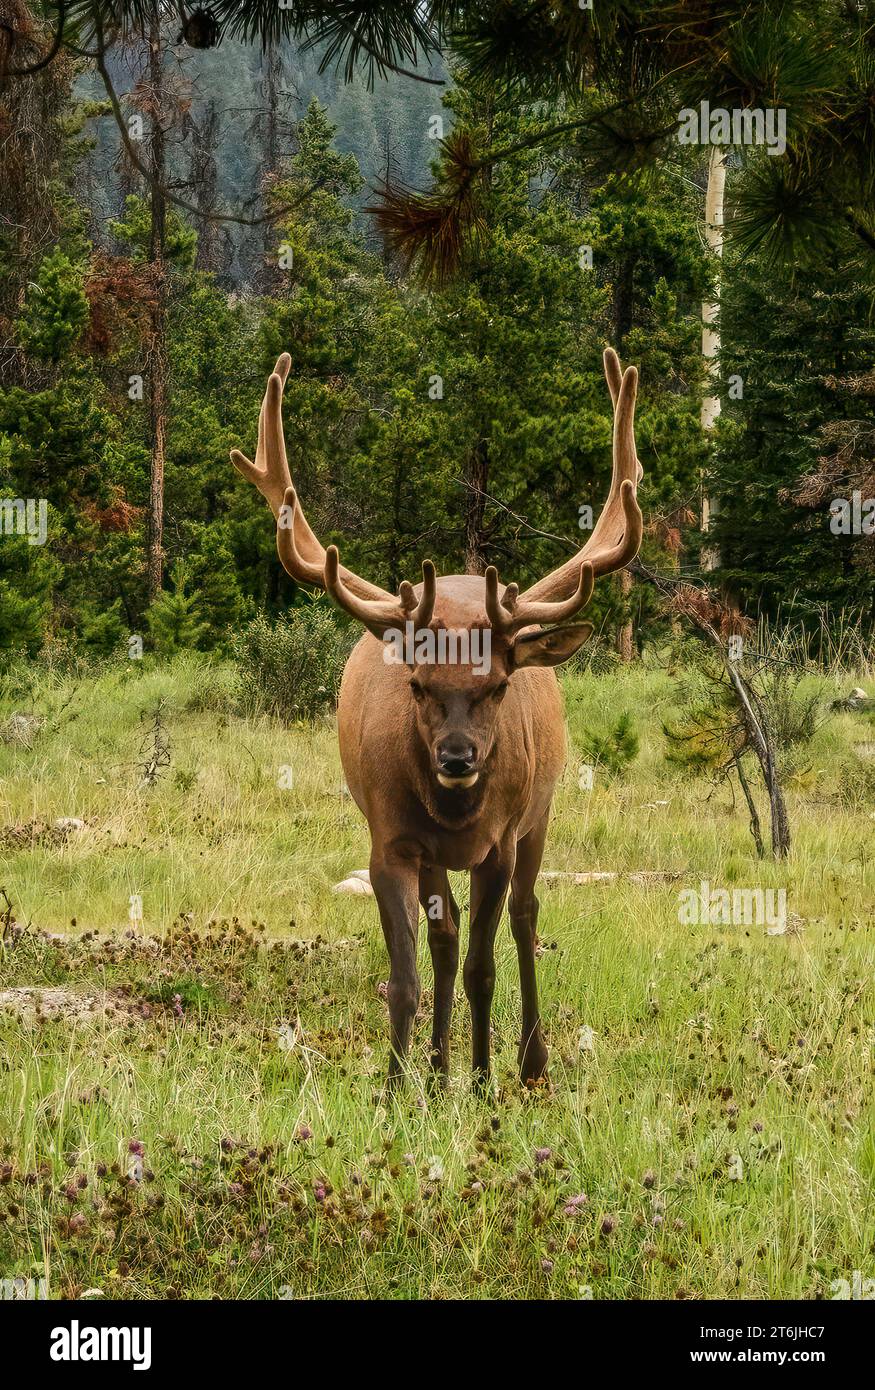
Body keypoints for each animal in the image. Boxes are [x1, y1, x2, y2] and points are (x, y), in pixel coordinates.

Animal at [231, 347, 643, 1091]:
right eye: (417, 684)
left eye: (499, 684)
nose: (457, 757)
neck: (455, 815)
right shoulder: (391, 841)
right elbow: (405, 976)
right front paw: (398, 1087)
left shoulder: (499, 841)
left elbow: (485, 966)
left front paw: (483, 1083)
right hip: (433, 854)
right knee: (445, 935)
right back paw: (437, 1068)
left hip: (539, 814)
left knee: (525, 918)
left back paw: (525, 1064)